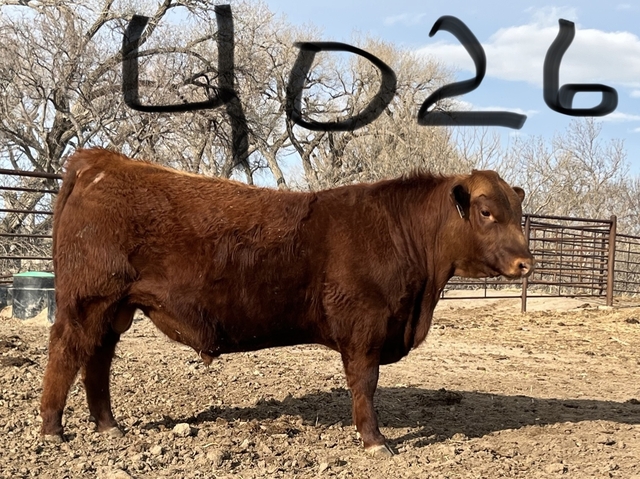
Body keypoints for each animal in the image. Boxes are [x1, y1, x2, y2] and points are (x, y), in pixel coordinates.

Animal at [40, 147, 534, 456]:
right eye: (486, 212)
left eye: (519, 213)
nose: (525, 263)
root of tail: (103, 162)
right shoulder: (365, 329)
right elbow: (365, 383)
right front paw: (375, 441)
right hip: (87, 300)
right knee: (66, 351)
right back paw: (52, 429)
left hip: (113, 307)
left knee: (97, 358)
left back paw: (108, 425)